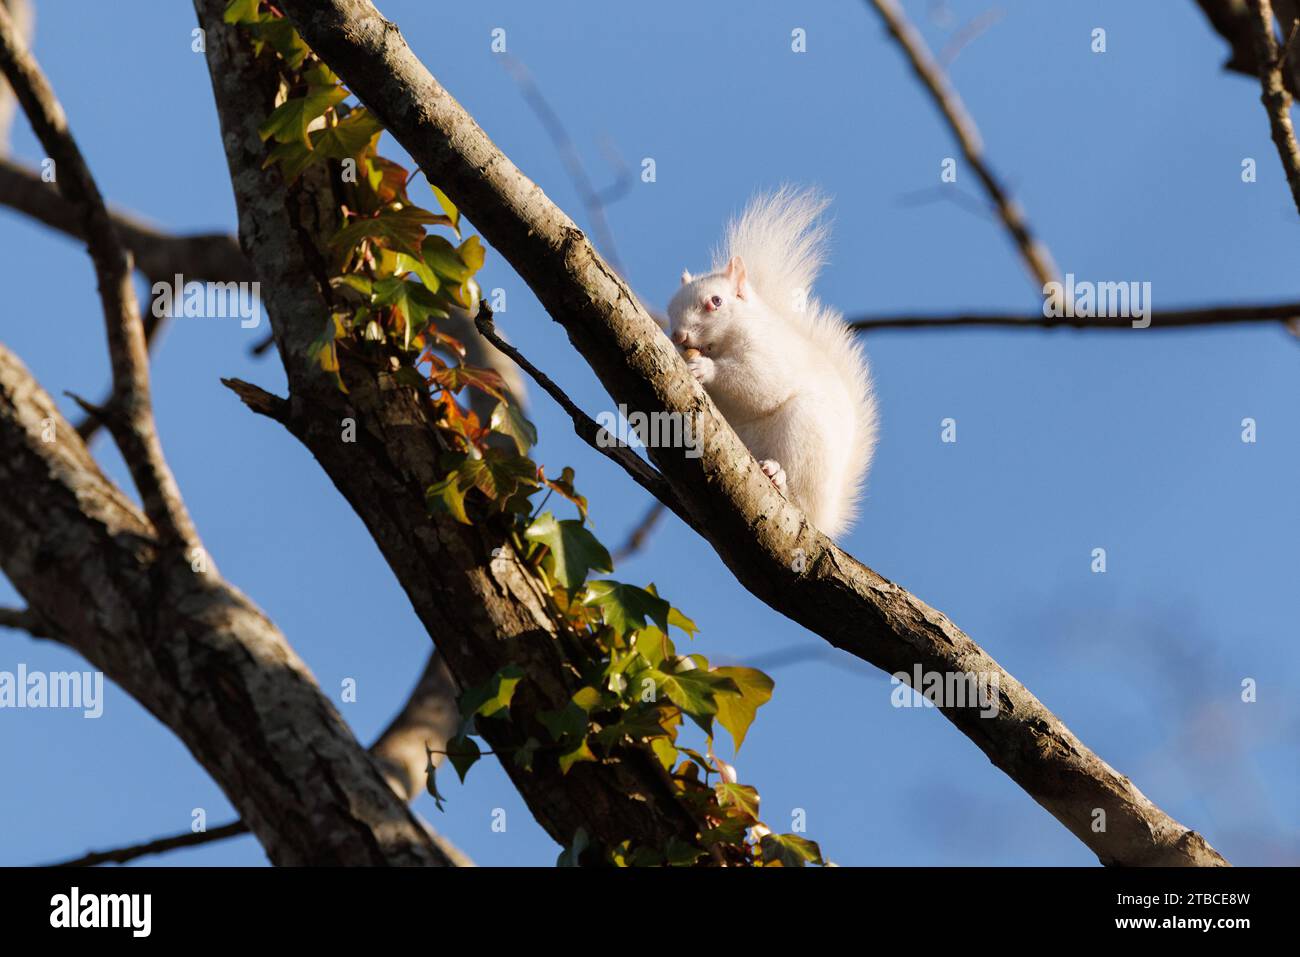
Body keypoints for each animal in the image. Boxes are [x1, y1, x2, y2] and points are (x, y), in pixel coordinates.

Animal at [667, 187, 878, 539]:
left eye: (716, 301)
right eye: (670, 308)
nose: (679, 336)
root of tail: (825, 516)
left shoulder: (770, 353)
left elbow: (759, 384)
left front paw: (704, 369)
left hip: (803, 433)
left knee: (798, 495)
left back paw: (777, 474)